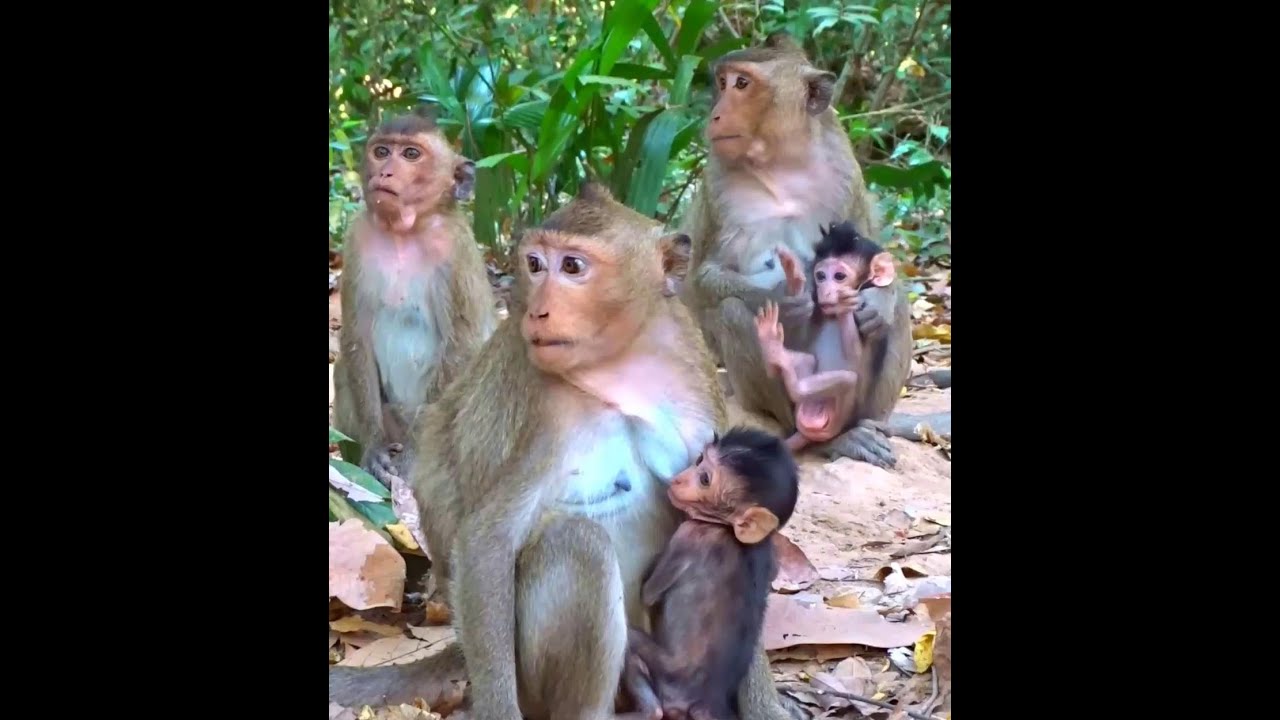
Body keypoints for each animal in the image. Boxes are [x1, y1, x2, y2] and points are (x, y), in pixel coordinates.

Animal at [330, 108, 498, 482]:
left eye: (410, 154)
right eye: (381, 152)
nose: (385, 171)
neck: (403, 233)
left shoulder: (456, 252)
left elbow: (461, 347)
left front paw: (410, 459)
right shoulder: (357, 238)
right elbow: (356, 337)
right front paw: (373, 448)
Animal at [622, 427, 800, 720]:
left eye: (705, 479)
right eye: (698, 460)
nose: (678, 479)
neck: (726, 528)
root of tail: (706, 700)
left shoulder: (691, 536)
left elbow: (648, 594)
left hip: (666, 672)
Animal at [753, 221, 897, 454]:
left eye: (839, 277)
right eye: (820, 276)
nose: (826, 291)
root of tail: (804, 431)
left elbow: (856, 356)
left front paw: (846, 305)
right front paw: (795, 282)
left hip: (833, 419)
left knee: (846, 380)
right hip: (805, 409)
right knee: (804, 361)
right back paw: (773, 351)